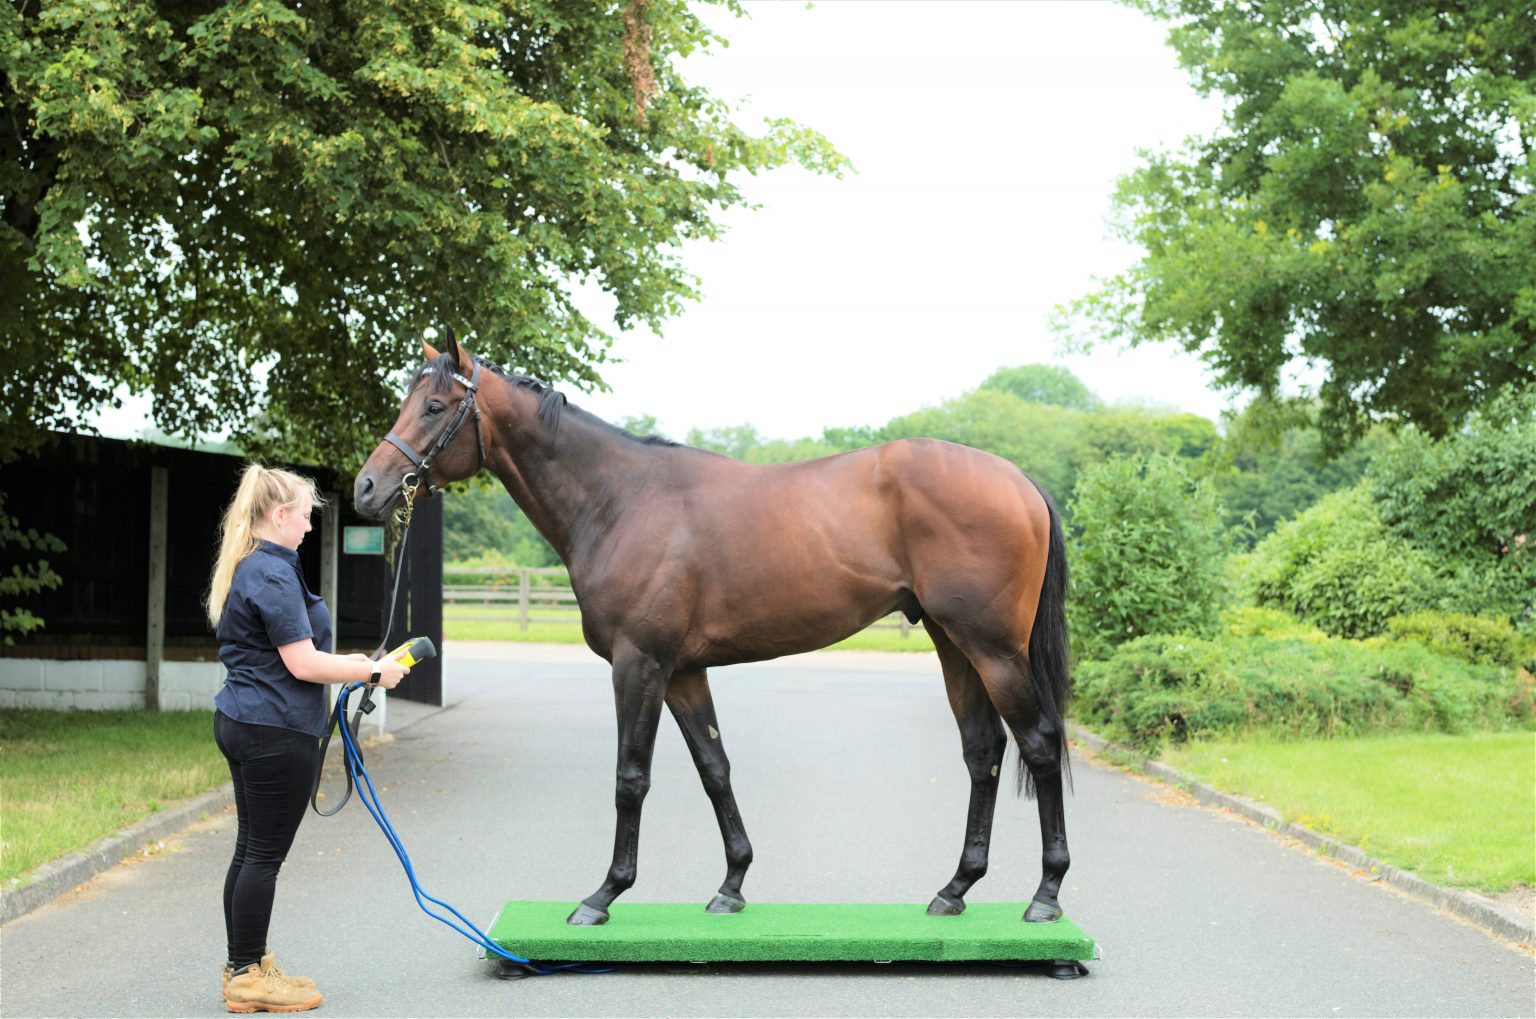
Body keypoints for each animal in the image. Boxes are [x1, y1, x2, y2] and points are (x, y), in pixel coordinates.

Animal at [353, 334, 1074, 928]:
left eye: (436, 405)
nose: (367, 488)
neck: (620, 500)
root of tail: (1020, 481)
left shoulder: (638, 663)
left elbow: (632, 776)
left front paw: (603, 895)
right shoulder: (682, 671)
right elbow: (714, 768)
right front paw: (731, 884)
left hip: (993, 649)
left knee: (1038, 744)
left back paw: (1045, 894)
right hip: (955, 646)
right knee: (983, 752)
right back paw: (955, 889)